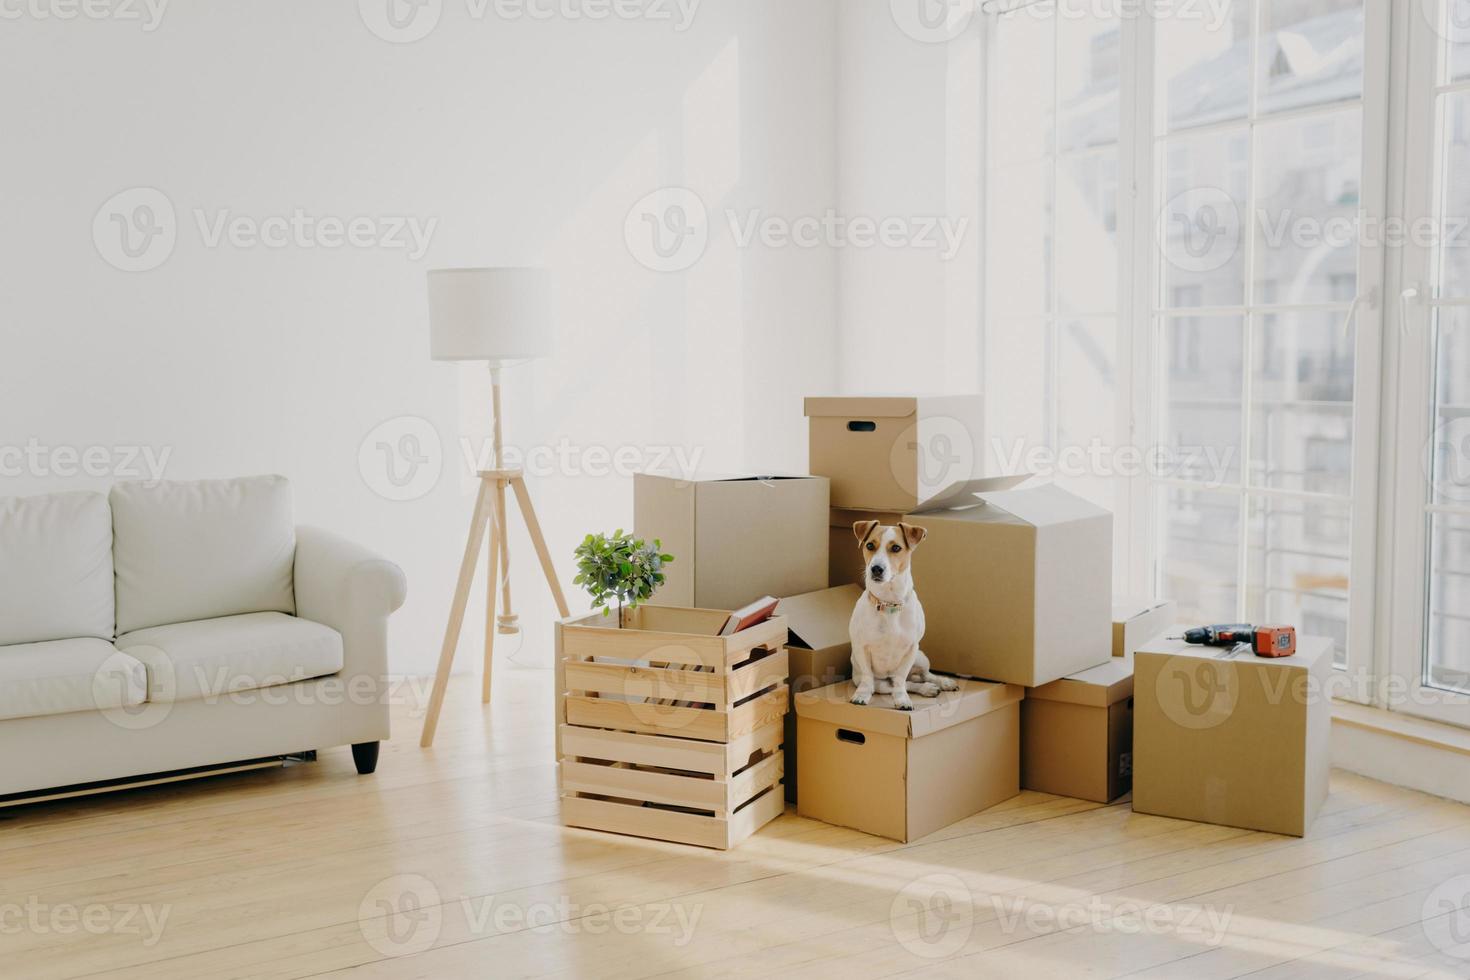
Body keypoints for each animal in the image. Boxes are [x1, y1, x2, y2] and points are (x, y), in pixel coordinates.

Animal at [846, 520, 958, 714]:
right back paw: (926, 688)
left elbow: (900, 679)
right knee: (903, 684)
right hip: (880, 683)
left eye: (896, 548)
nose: (876, 568)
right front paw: (861, 695)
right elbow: (869, 677)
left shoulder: (911, 649)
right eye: (870, 545)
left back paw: (943, 682)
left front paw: (902, 700)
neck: (889, 604)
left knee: (922, 676)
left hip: (921, 658)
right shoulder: (862, 647)